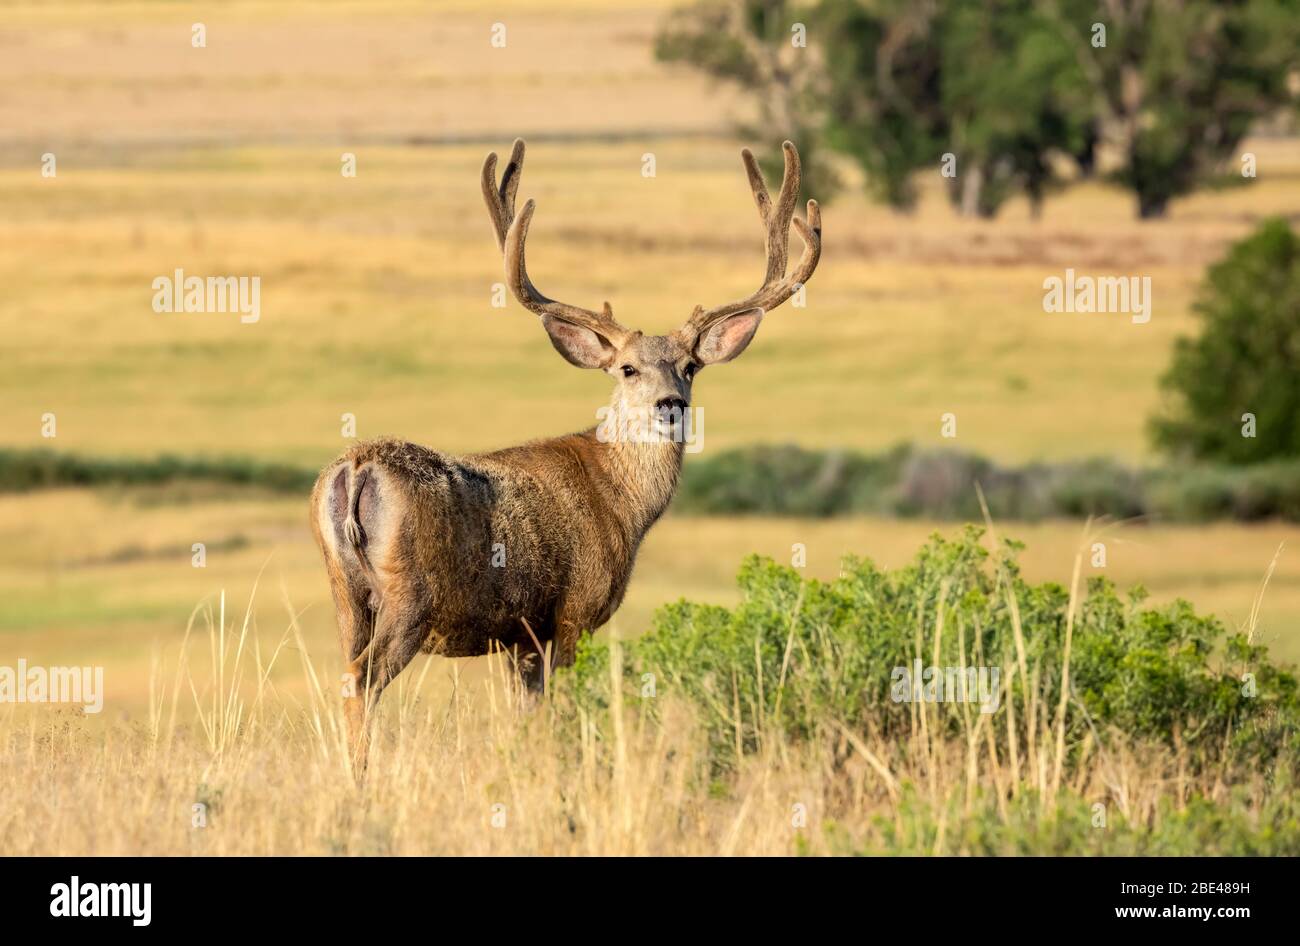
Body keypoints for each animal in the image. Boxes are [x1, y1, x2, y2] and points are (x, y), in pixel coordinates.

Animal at [310, 139, 821, 768]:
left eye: (690, 365)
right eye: (627, 368)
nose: (671, 403)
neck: (620, 501)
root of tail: (355, 470)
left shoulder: (518, 632)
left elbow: (526, 716)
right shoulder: (575, 609)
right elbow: (564, 710)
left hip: (343, 589)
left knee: (345, 669)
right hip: (409, 595)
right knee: (362, 679)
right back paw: (362, 777)